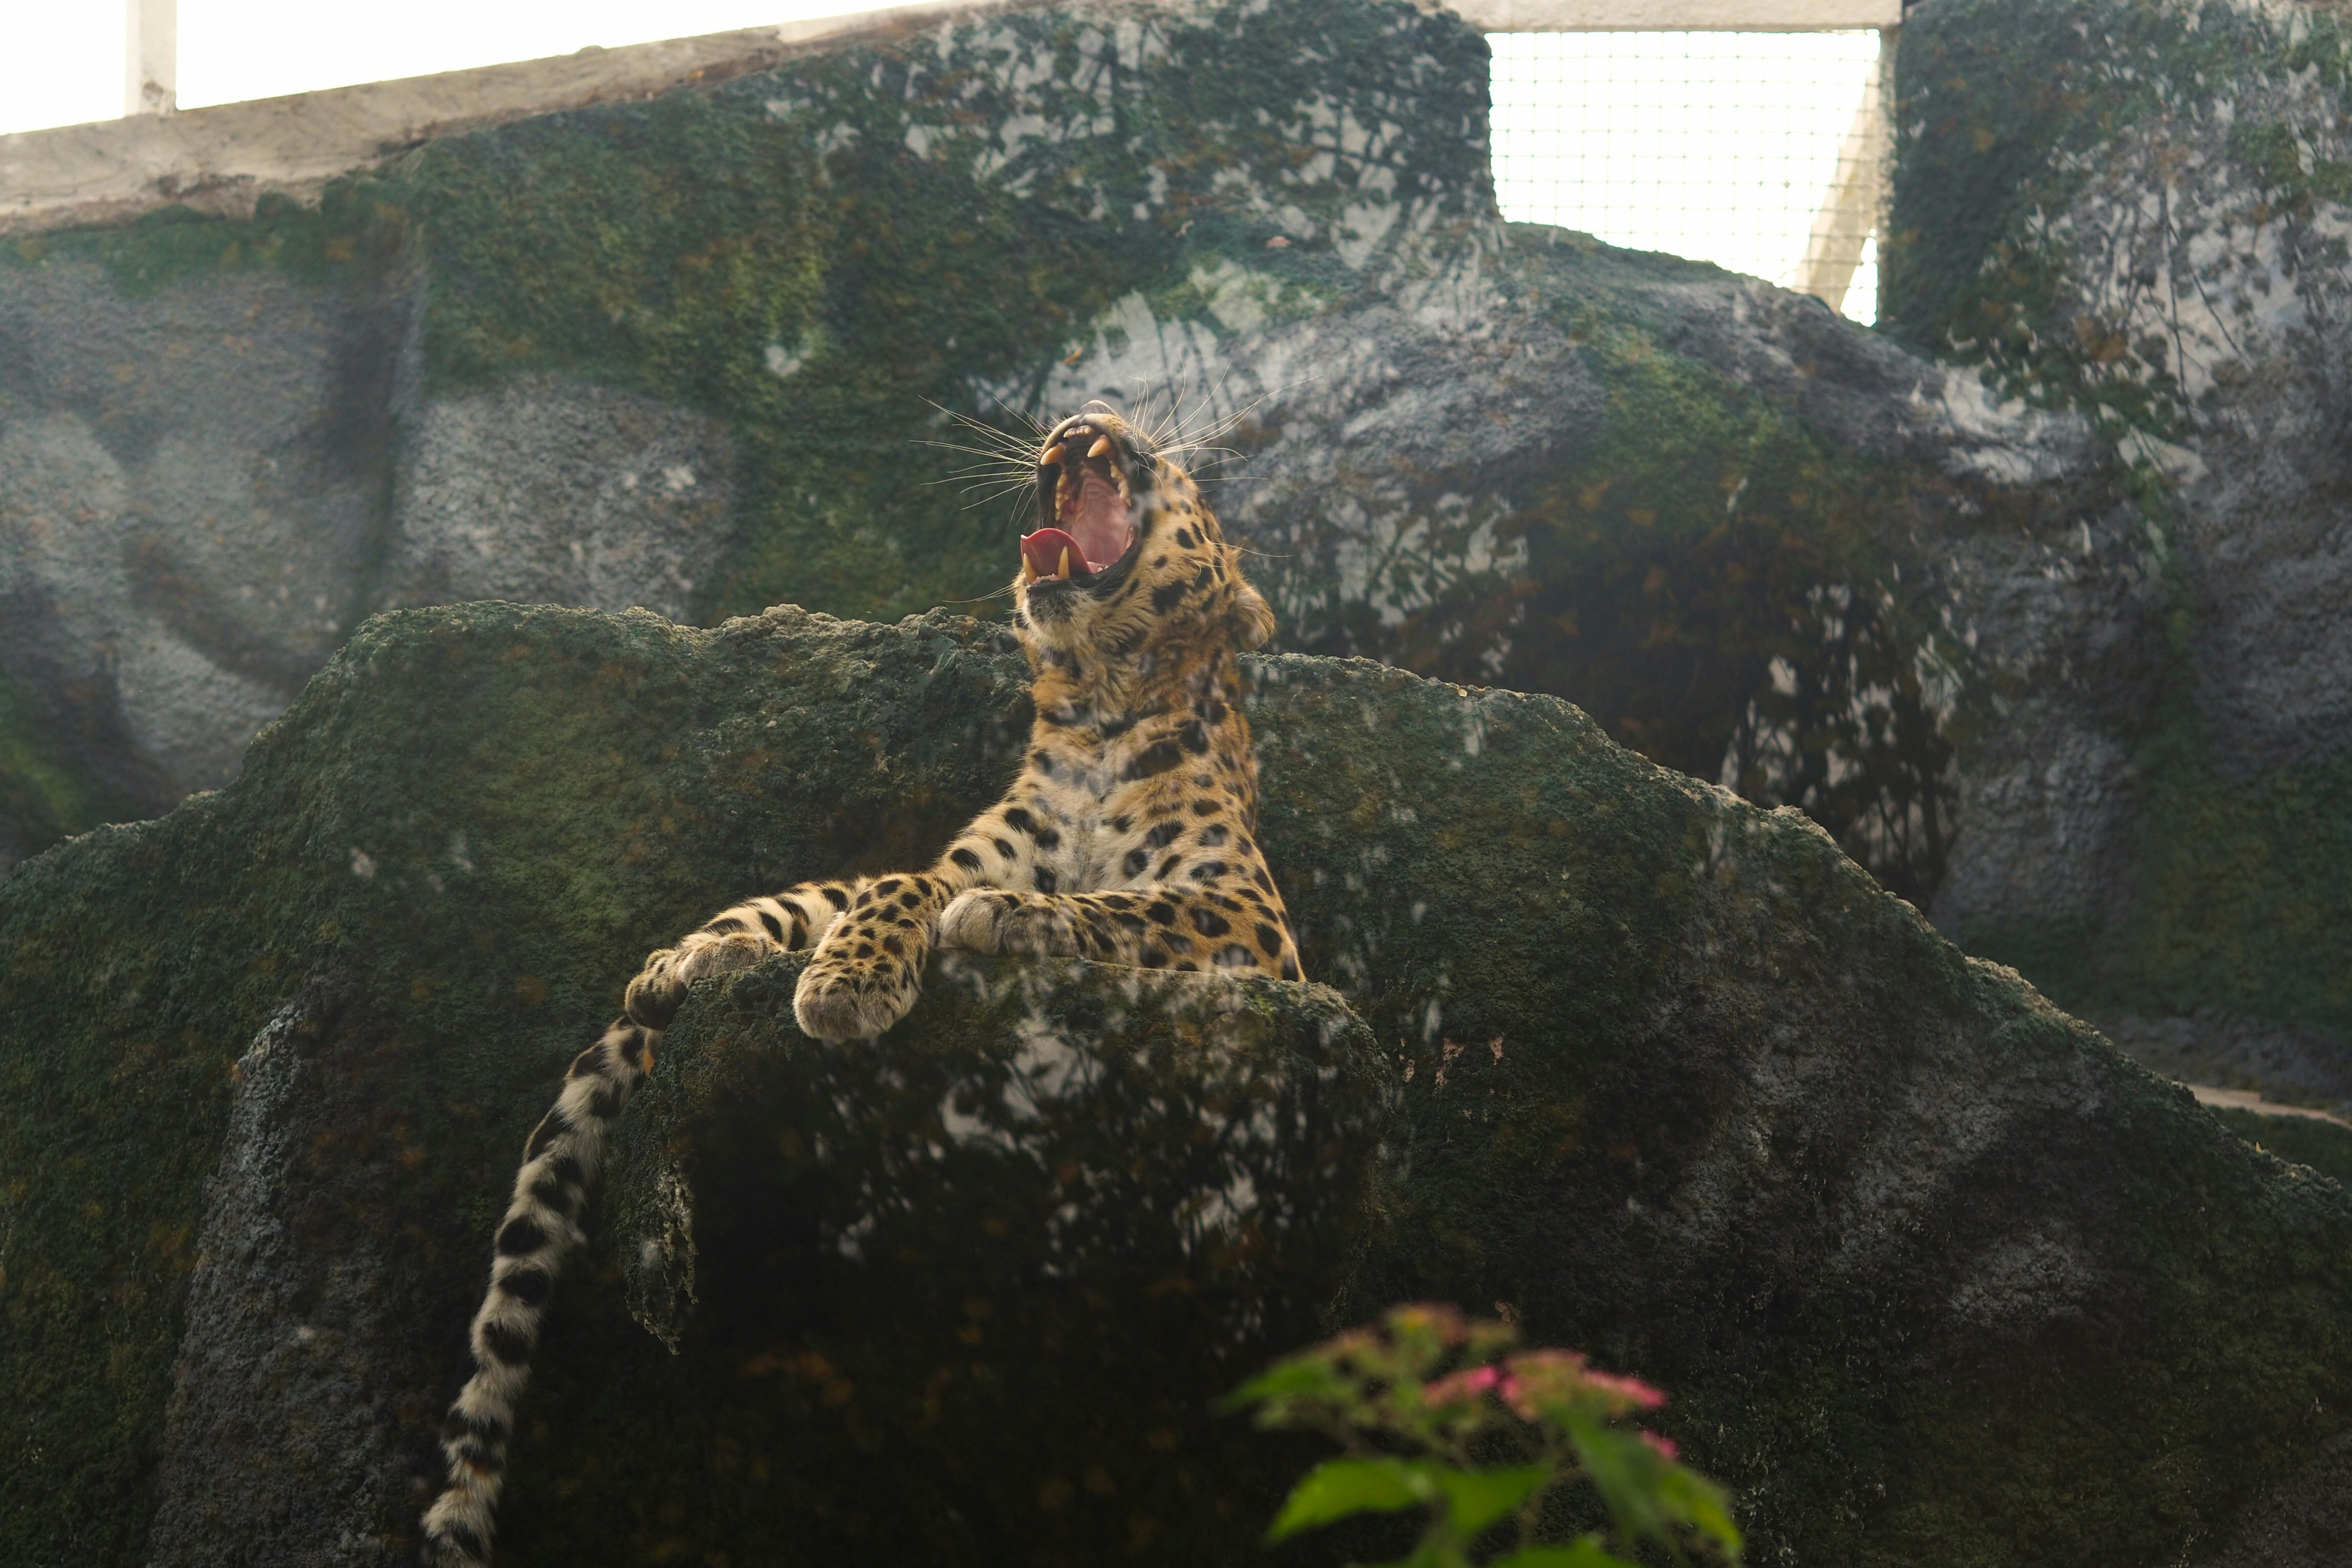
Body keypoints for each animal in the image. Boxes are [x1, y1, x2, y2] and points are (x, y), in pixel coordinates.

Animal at [421, 405, 1303, 1565]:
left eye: (1176, 472)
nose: (1083, 423)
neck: (1101, 704)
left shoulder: (1251, 919)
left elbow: (1124, 907)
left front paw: (1015, 919)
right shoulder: (958, 856)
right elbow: (901, 881)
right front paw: (853, 975)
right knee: (790, 909)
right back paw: (684, 966)